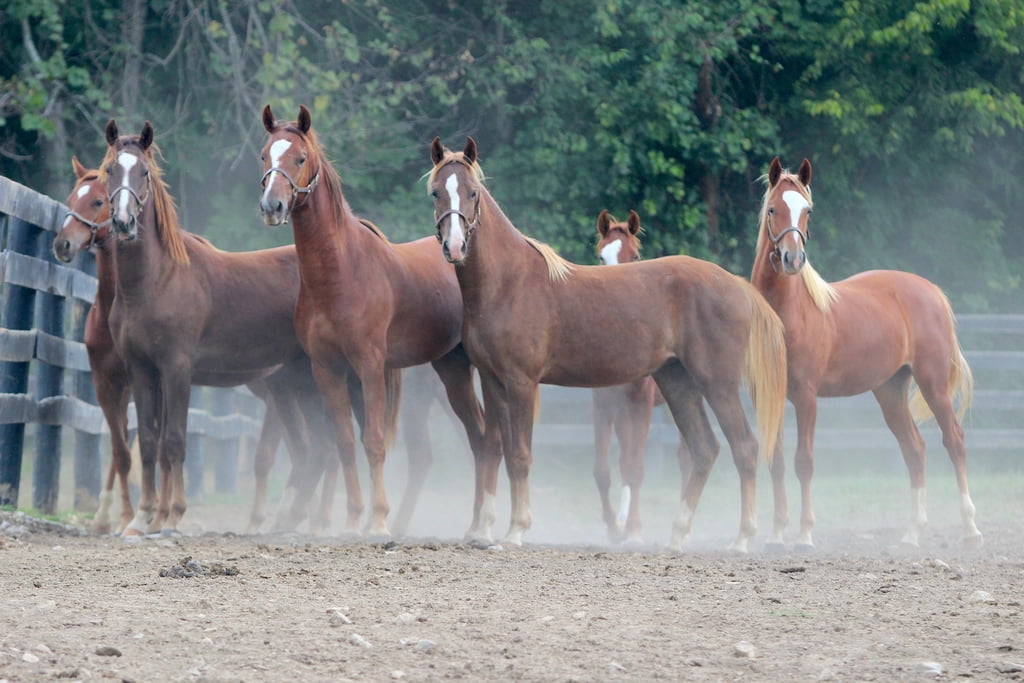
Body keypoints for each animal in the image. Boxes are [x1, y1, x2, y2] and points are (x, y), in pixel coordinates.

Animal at [99, 119, 353, 536]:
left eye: (144, 172)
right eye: (108, 170)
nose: (123, 222)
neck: (155, 282)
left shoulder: (177, 370)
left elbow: (174, 442)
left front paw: (171, 516)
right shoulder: (142, 371)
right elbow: (150, 443)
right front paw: (142, 518)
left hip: (312, 382)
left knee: (326, 447)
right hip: (293, 385)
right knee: (313, 449)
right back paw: (288, 520)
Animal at [258, 105, 488, 540]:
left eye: (300, 158)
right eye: (265, 155)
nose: (271, 206)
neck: (339, 273)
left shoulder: (368, 367)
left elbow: (375, 442)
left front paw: (378, 520)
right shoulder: (329, 370)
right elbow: (347, 444)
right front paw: (353, 519)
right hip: (450, 370)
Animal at [591, 209, 693, 544]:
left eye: (634, 257)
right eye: (601, 256)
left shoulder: (641, 406)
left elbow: (635, 469)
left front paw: (634, 531)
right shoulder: (602, 407)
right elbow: (603, 470)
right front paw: (613, 528)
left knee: (685, 457)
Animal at [751, 157, 982, 549]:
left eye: (808, 210)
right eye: (772, 209)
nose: (793, 259)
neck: (787, 313)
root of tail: (931, 291)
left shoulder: (806, 398)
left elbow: (803, 461)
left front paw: (805, 534)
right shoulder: (771, 396)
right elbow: (777, 461)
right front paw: (776, 534)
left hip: (933, 384)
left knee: (955, 441)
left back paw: (970, 529)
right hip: (890, 391)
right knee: (915, 450)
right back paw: (911, 533)